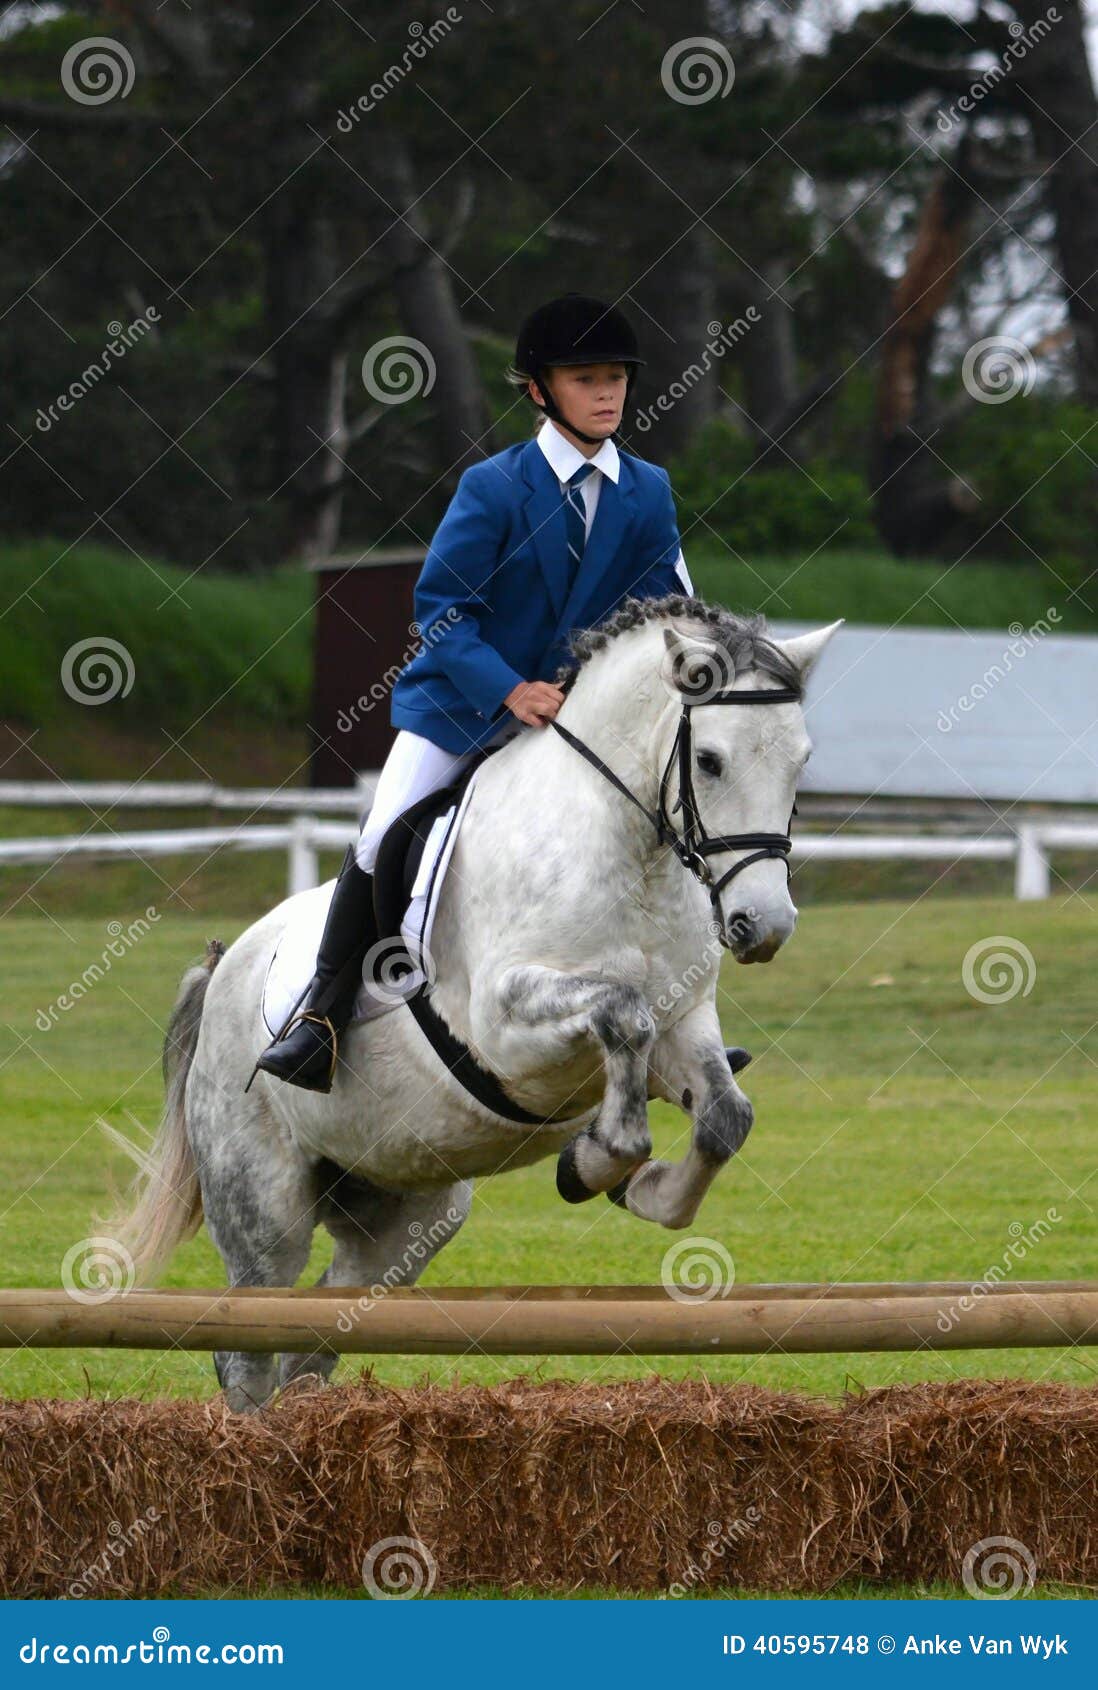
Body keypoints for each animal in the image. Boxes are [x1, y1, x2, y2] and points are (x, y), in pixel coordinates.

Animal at [108, 596, 841, 1410]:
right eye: (709, 760)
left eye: (802, 760)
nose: (761, 926)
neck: (631, 850)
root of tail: (222, 973)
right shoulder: (507, 1027)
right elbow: (622, 1017)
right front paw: (597, 1164)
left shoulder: (686, 1022)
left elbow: (722, 1114)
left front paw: (646, 1192)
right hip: (262, 1205)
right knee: (248, 1345)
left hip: (405, 1215)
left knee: (320, 1331)